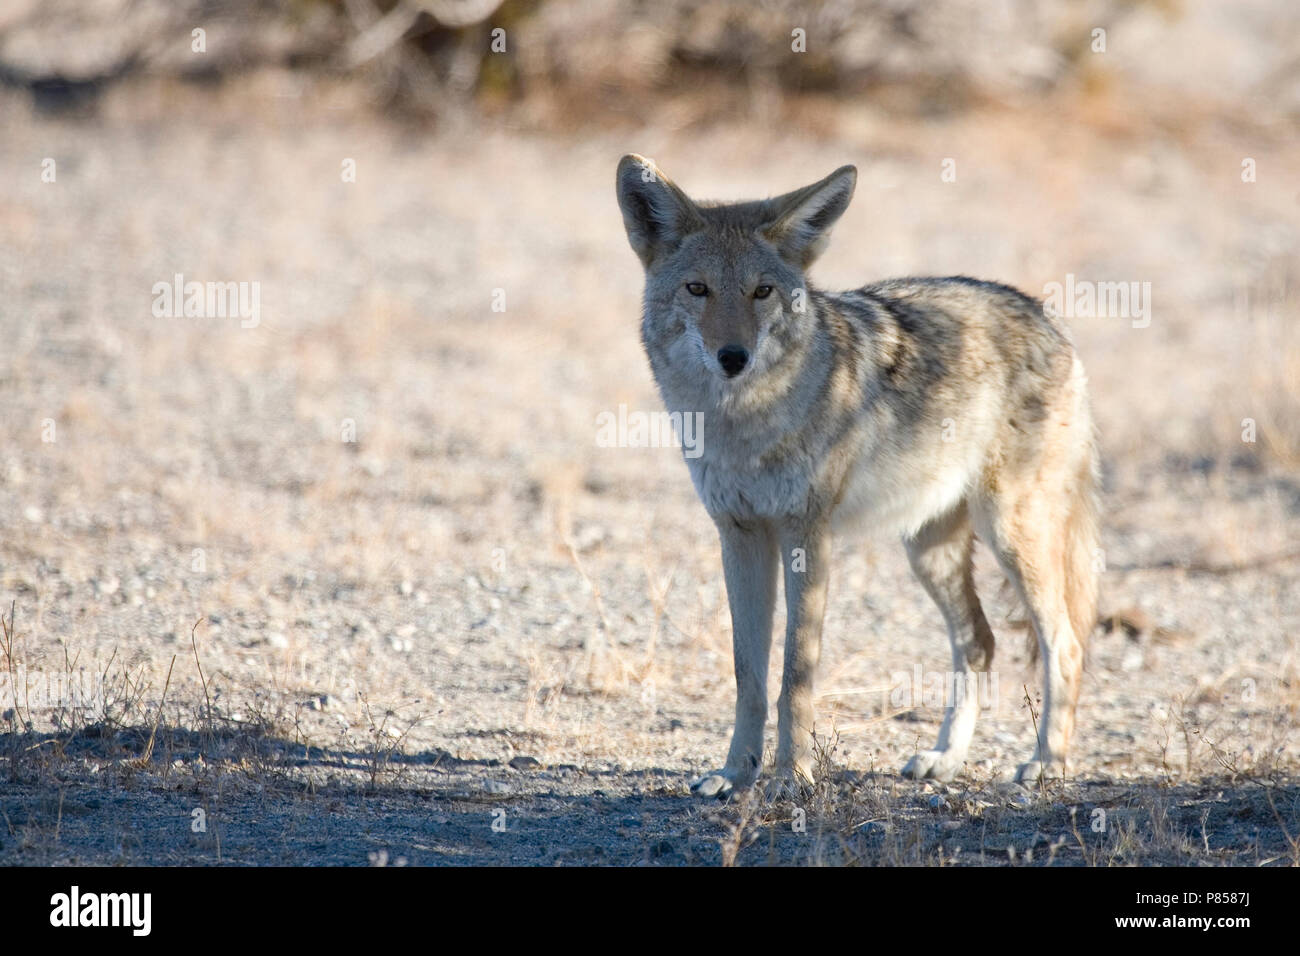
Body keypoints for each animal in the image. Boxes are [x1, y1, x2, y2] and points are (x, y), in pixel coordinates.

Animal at [615, 155, 1100, 795]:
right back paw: (944, 759)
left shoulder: (806, 535)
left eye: (762, 291)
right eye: (698, 289)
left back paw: (1047, 763)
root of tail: (1049, 319)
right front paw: (735, 775)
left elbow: (795, 674)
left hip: (1012, 538)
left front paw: (791, 778)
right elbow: (749, 675)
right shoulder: (740, 535)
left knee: (1064, 643)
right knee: (979, 641)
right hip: (928, 551)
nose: (733, 358)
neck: (742, 421)